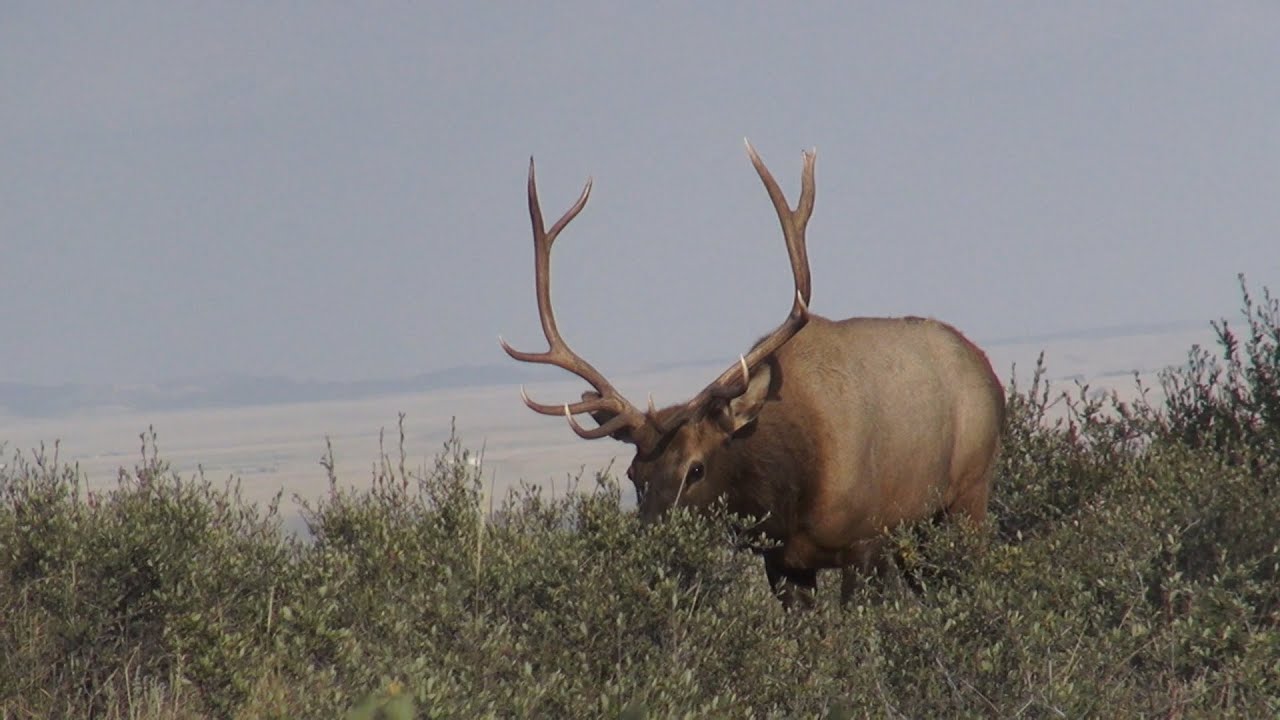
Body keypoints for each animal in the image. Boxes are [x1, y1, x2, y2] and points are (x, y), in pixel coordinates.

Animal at [501, 141, 1005, 608]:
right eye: (633, 473)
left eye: (696, 468)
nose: (650, 555)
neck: (790, 496)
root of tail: (989, 373)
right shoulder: (780, 561)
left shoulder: (866, 536)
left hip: (968, 493)